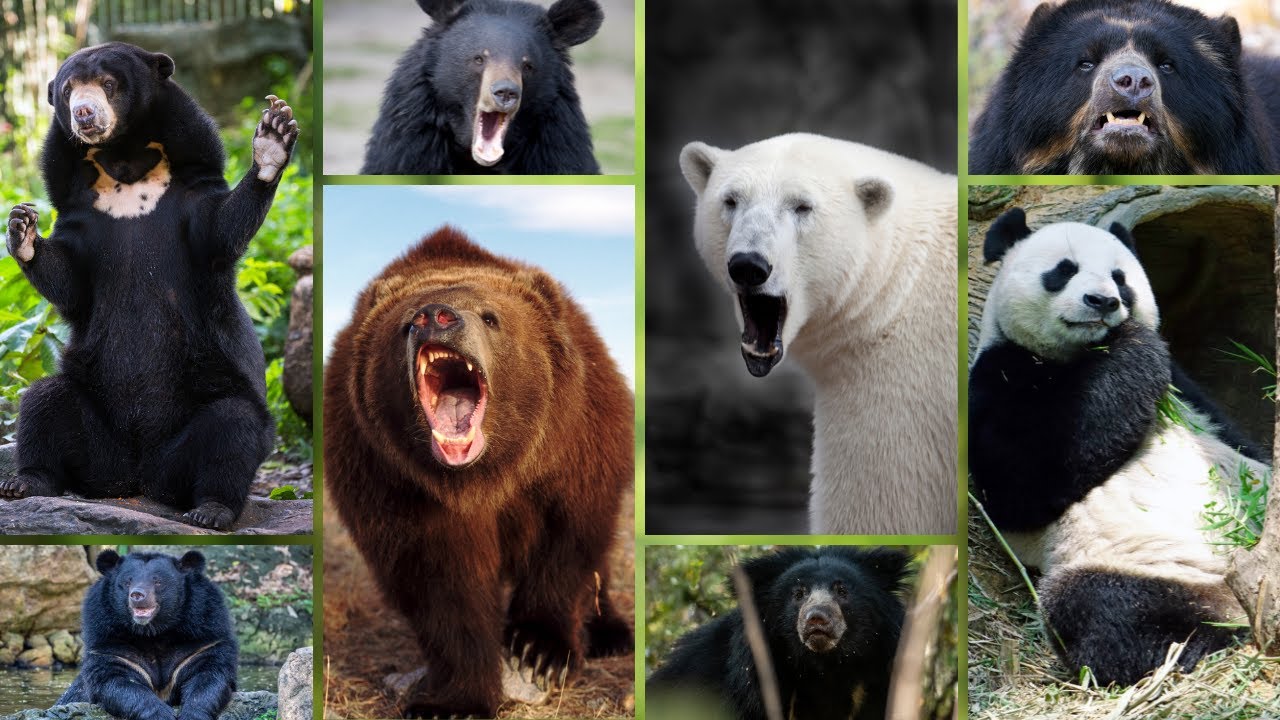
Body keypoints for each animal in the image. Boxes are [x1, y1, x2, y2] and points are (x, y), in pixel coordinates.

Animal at [3, 42, 299, 530]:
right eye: (67, 90)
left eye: (108, 84)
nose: (84, 114)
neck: (124, 162)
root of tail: (139, 479)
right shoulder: (80, 210)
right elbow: (70, 278)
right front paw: (22, 228)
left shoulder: (191, 189)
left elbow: (220, 229)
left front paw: (273, 136)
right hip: (96, 429)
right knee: (45, 399)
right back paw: (25, 483)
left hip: (208, 406)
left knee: (232, 427)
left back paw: (211, 510)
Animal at [58, 549, 238, 720]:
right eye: (127, 582)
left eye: (158, 581)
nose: (137, 595)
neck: (153, 633)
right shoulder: (110, 644)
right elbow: (116, 681)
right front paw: (162, 714)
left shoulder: (201, 639)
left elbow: (209, 676)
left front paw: (192, 714)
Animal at [323, 227, 633, 717]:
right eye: (405, 323)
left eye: (491, 317)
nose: (435, 316)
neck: (483, 476)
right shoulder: (396, 485)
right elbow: (444, 589)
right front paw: (454, 701)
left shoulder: (571, 449)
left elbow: (568, 542)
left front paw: (538, 649)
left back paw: (611, 632)